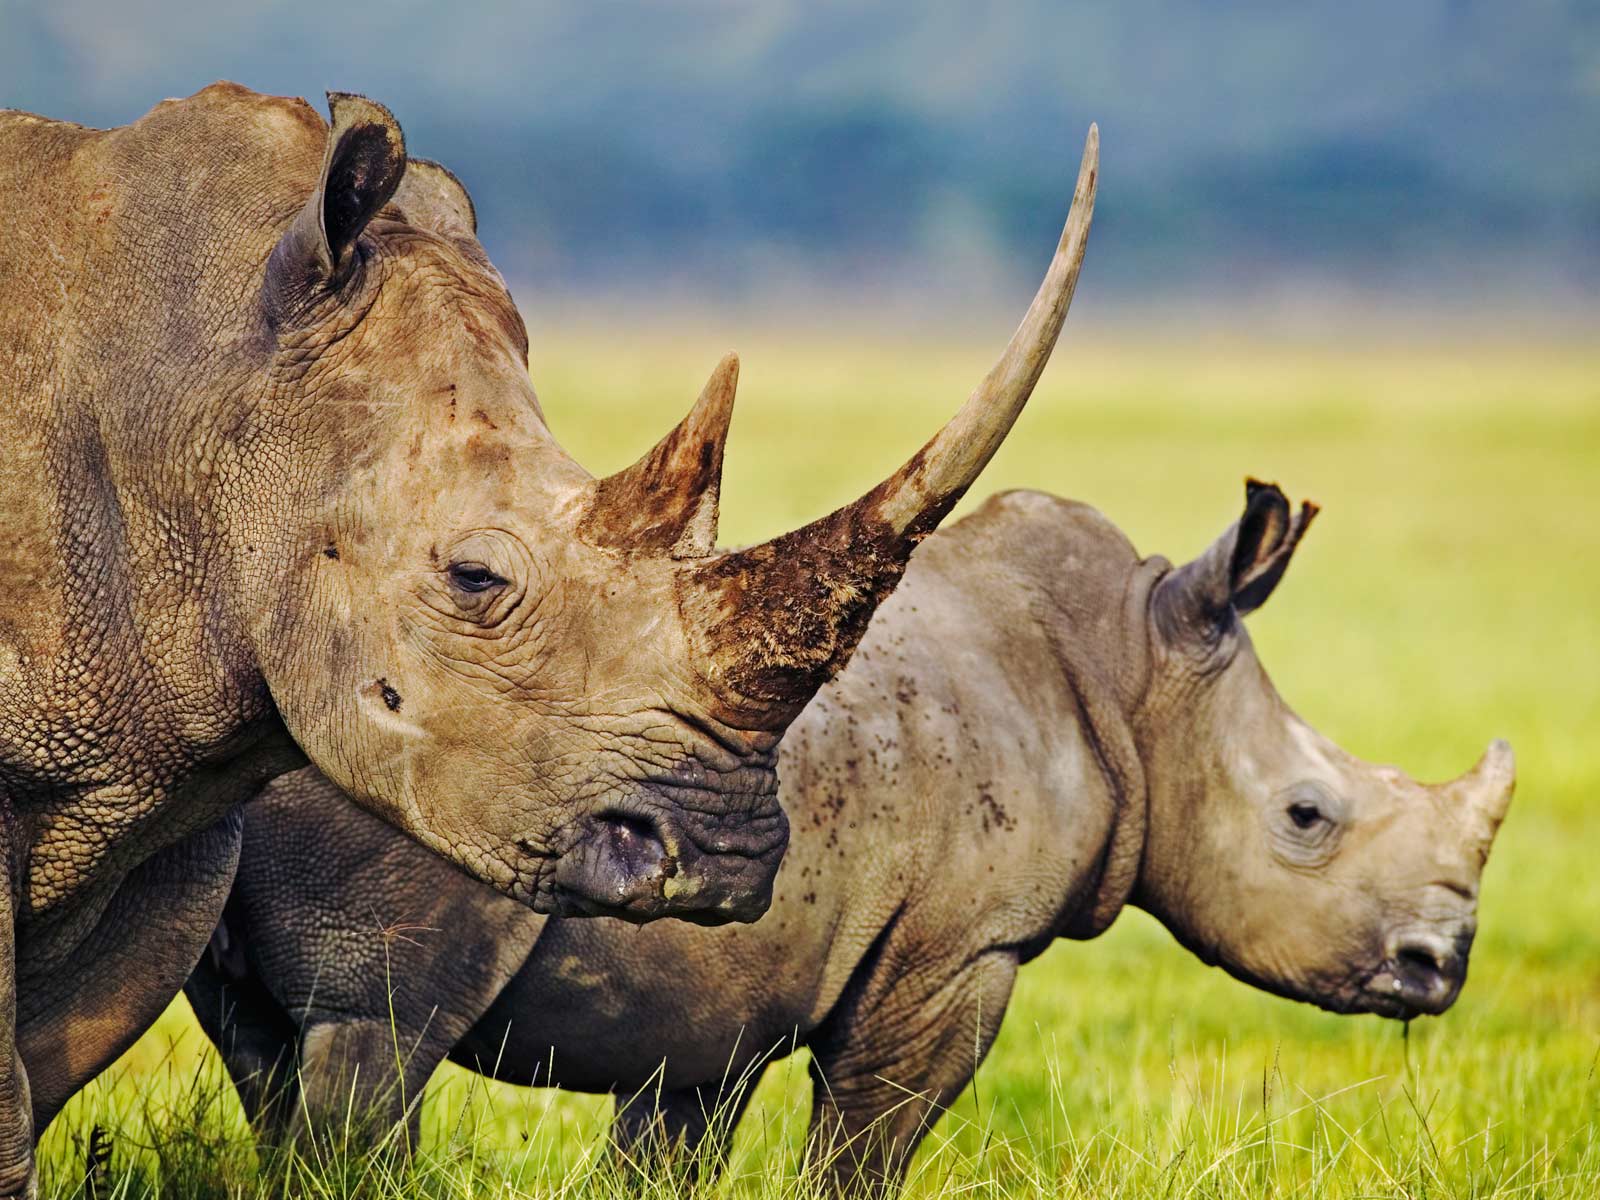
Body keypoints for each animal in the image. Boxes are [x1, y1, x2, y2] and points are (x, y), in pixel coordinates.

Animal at [190, 481, 1515, 1195]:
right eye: (1306, 817)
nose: (1437, 967)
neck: (1137, 674)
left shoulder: (718, 997)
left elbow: (667, 1147)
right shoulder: (961, 948)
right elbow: (866, 1149)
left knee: (264, 1044)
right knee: (376, 1034)